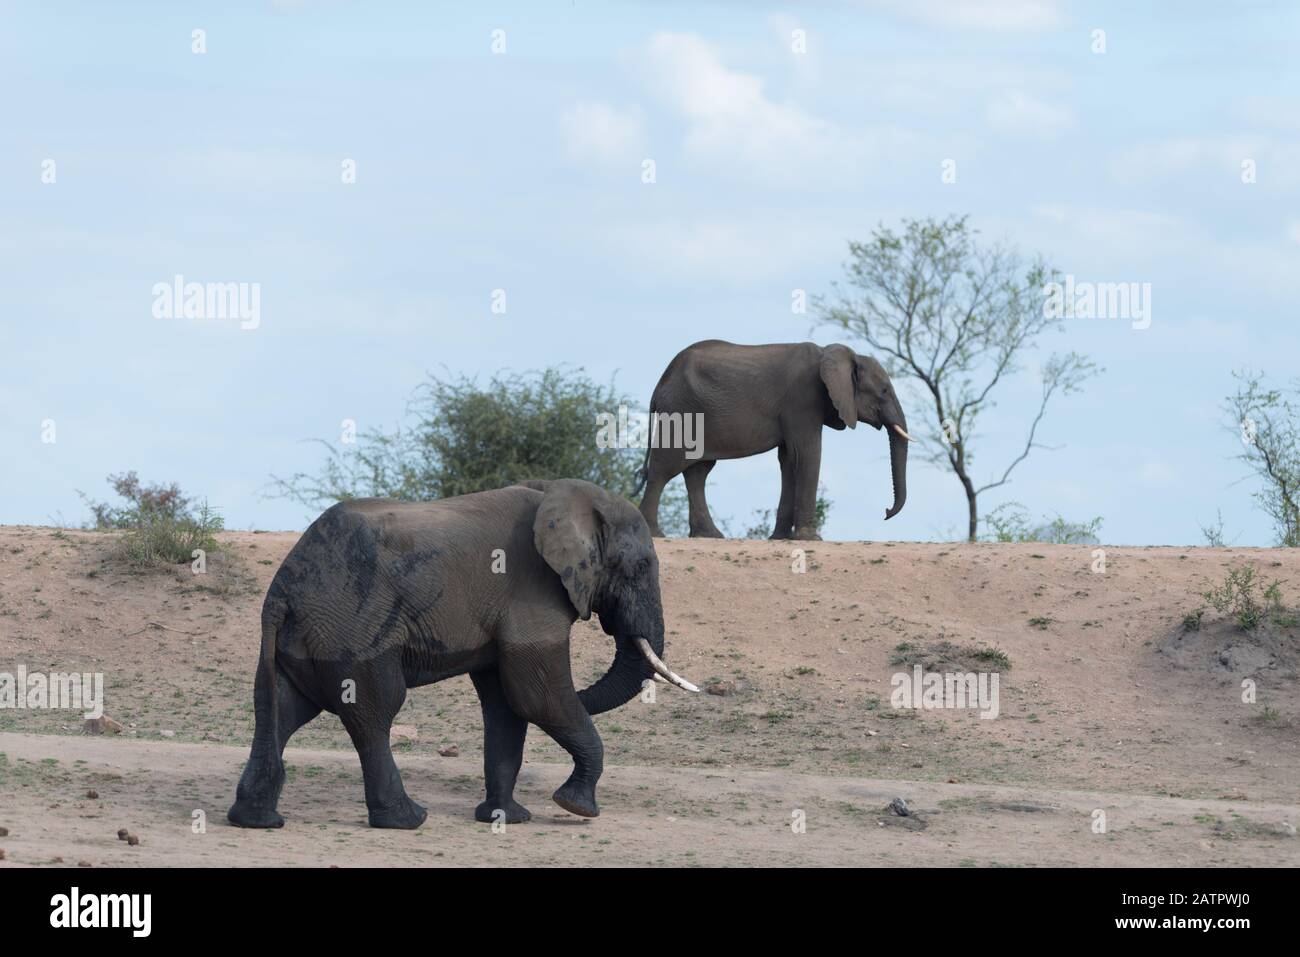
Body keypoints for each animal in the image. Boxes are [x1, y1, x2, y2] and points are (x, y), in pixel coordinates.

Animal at [227, 479, 699, 830]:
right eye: (640, 567)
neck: (566, 495)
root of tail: (282, 588)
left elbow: (506, 705)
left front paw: (506, 819)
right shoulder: (532, 593)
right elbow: (534, 696)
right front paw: (575, 807)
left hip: (306, 636)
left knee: (281, 709)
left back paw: (256, 820)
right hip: (350, 626)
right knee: (374, 711)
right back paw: (407, 820)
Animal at [636, 340, 913, 540]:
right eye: (884, 391)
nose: (885, 512)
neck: (831, 353)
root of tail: (660, 384)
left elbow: (789, 460)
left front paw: (780, 538)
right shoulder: (803, 399)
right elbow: (807, 454)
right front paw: (810, 539)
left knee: (698, 472)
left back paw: (709, 536)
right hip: (681, 412)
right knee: (664, 468)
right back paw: (656, 533)